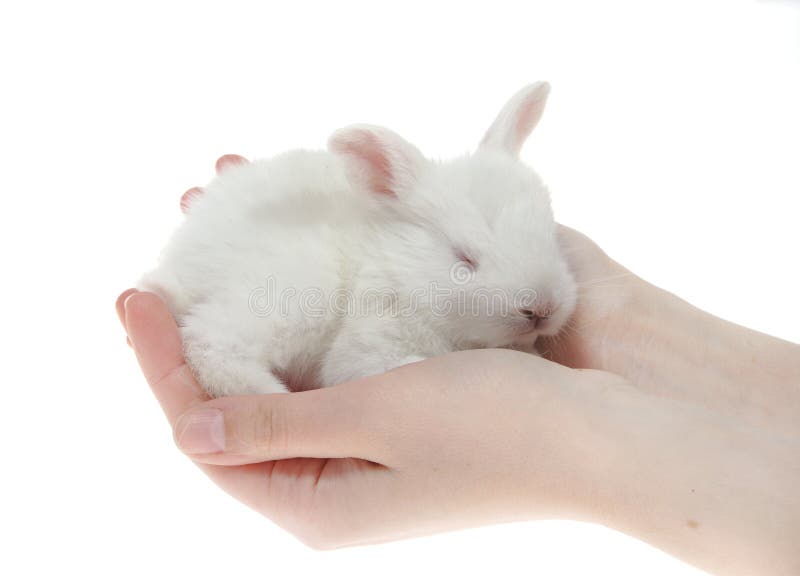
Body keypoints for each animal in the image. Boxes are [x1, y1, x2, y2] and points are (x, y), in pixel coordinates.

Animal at [138, 81, 577, 397]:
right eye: (463, 258)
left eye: (549, 236)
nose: (542, 308)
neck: (399, 265)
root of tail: (186, 260)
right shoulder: (367, 340)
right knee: (208, 344)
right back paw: (270, 392)